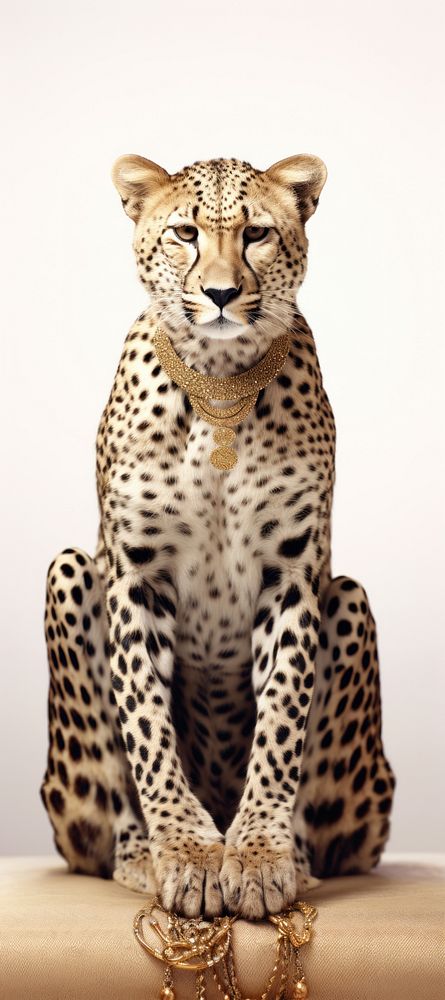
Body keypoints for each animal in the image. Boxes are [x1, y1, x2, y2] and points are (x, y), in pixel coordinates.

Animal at [41, 153, 396, 921]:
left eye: (256, 233)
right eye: (184, 233)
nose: (223, 292)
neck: (219, 385)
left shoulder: (291, 579)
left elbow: (282, 720)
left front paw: (257, 855)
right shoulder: (136, 577)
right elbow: (145, 724)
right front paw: (189, 852)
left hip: (349, 603)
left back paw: (296, 857)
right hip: (70, 574)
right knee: (100, 812)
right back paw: (139, 856)